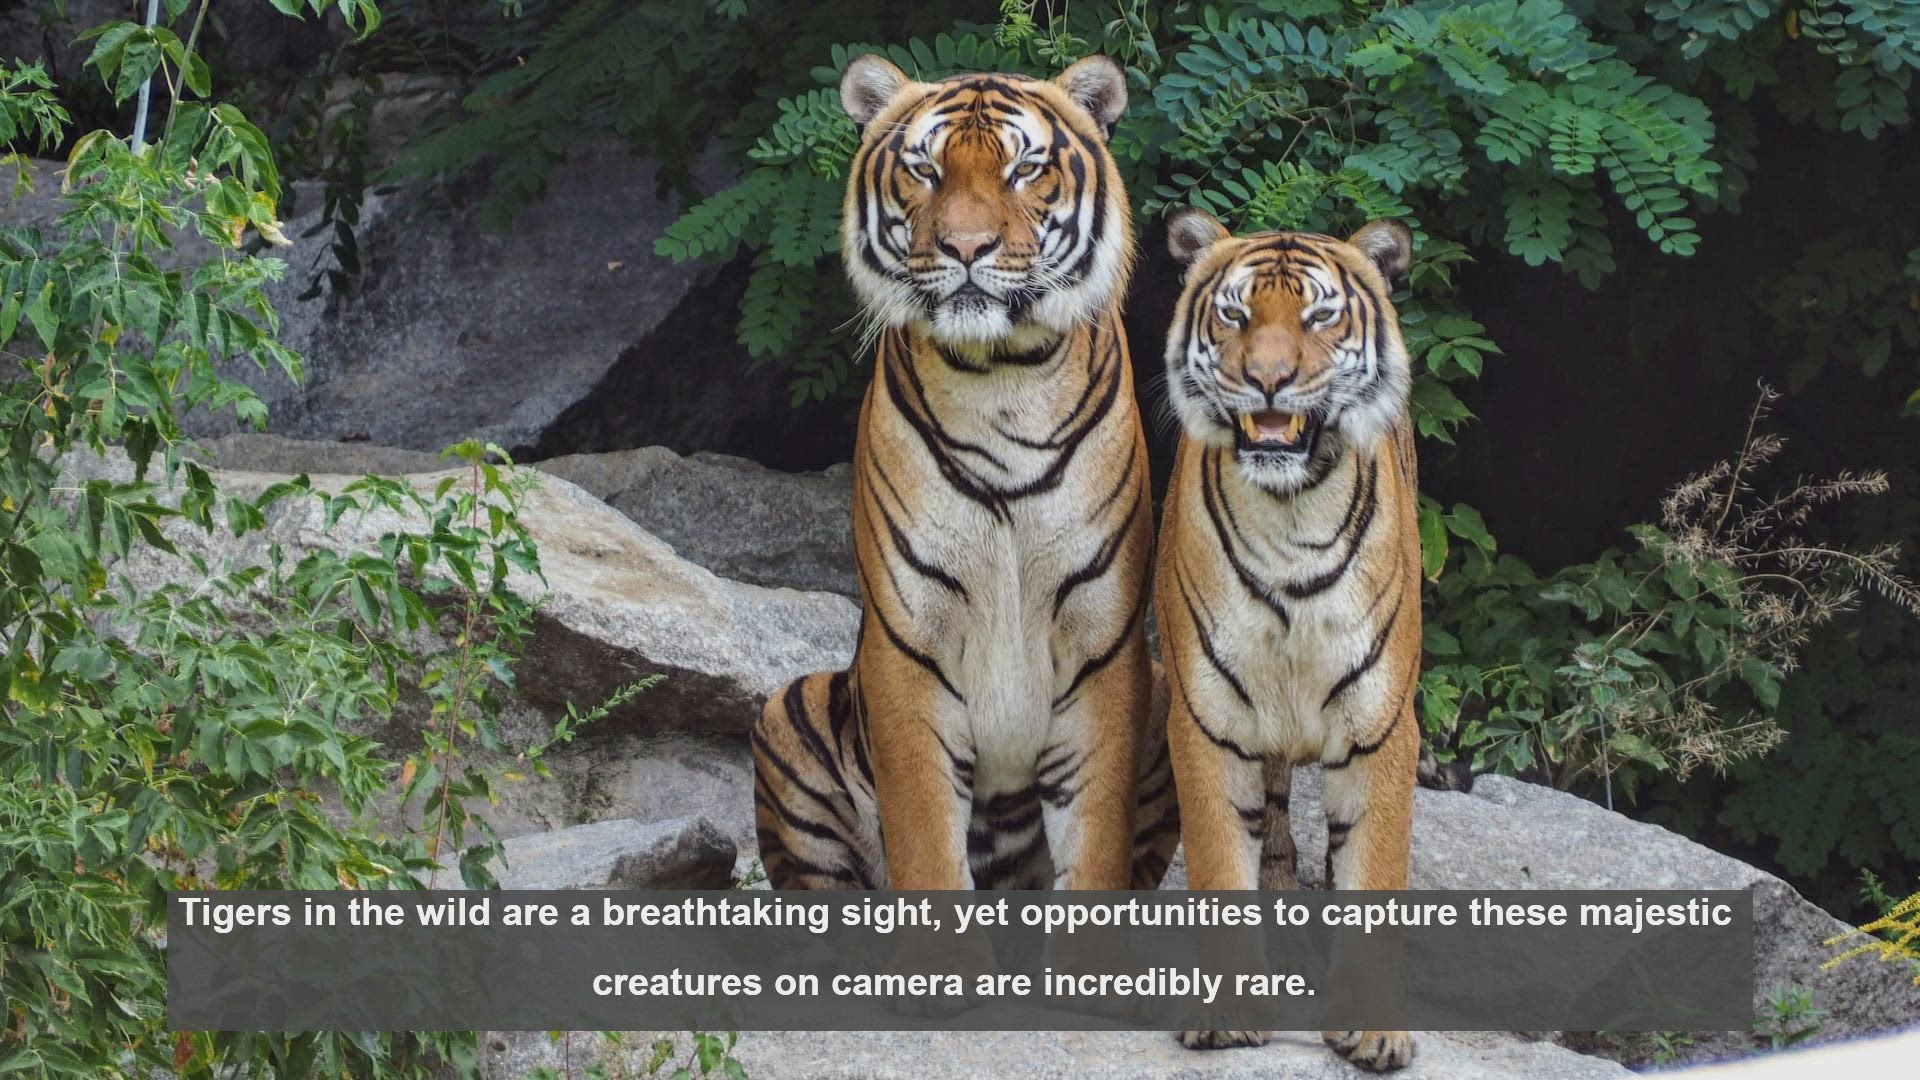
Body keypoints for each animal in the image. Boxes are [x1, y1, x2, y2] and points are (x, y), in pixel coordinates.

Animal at [749, 54, 1179, 893]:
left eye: (1025, 168)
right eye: (925, 168)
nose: (967, 247)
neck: (1001, 379)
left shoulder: (1104, 651)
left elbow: (1096, 855)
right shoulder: (908, 648)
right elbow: (927, 853)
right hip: (790, 711)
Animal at [1153, 209, 1423, 1071]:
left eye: (1319, 316)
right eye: (1236, 316)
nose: (1268, 379)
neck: (1291, 517)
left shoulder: (1382, 727)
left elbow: (1373, 871)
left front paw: (1374, 1033)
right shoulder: (1206, 719)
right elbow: (1218, 861)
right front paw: (1225, 1017)